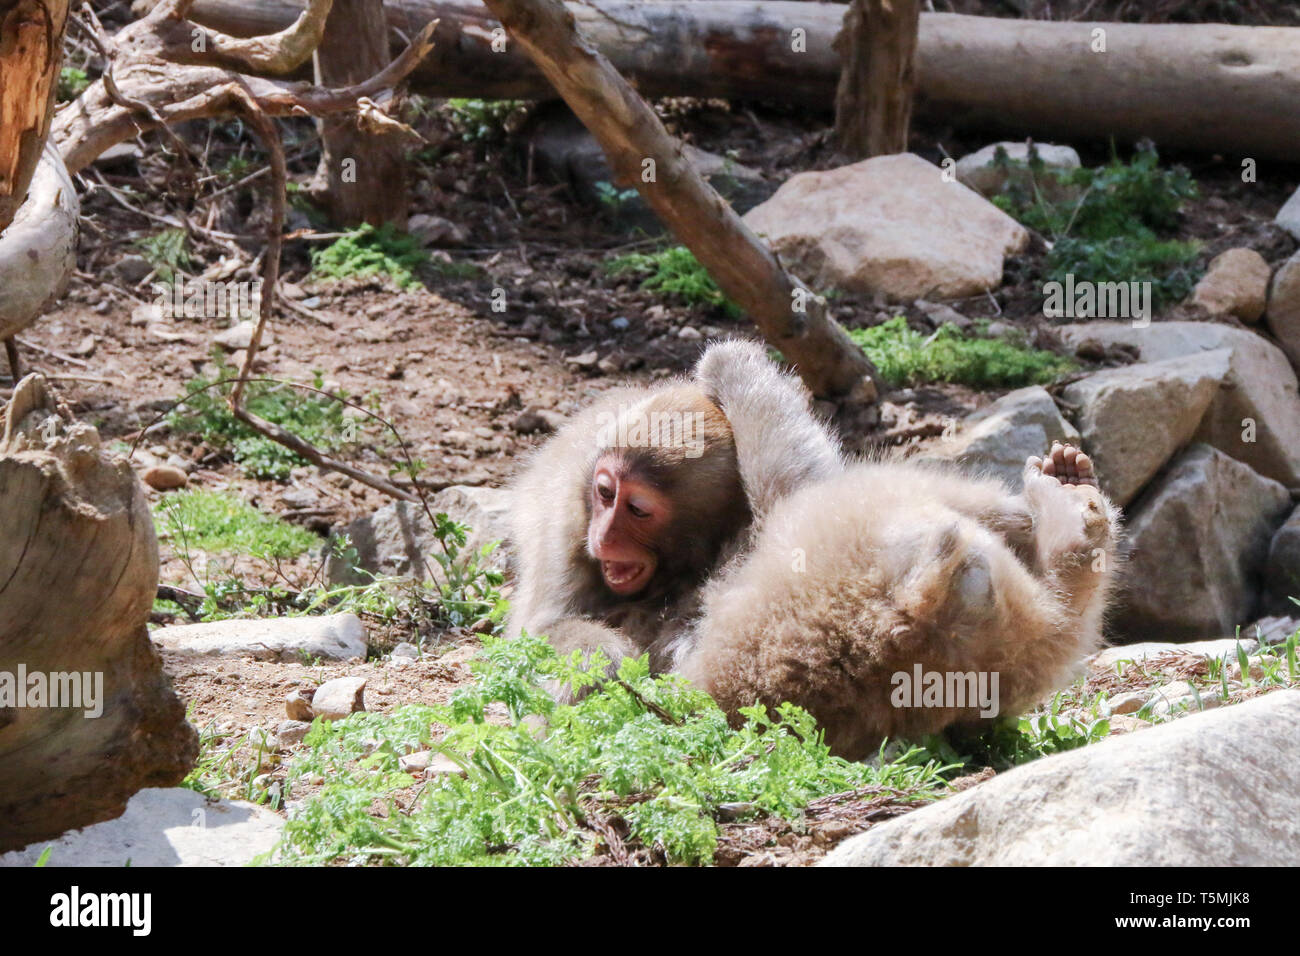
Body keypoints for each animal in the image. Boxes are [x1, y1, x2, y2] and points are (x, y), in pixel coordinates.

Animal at [508, 340, 1120, 757]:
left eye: (635, 509)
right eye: (604, 494)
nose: (604, 538)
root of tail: (915, 619)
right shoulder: (571, 515)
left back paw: (1065, 533)